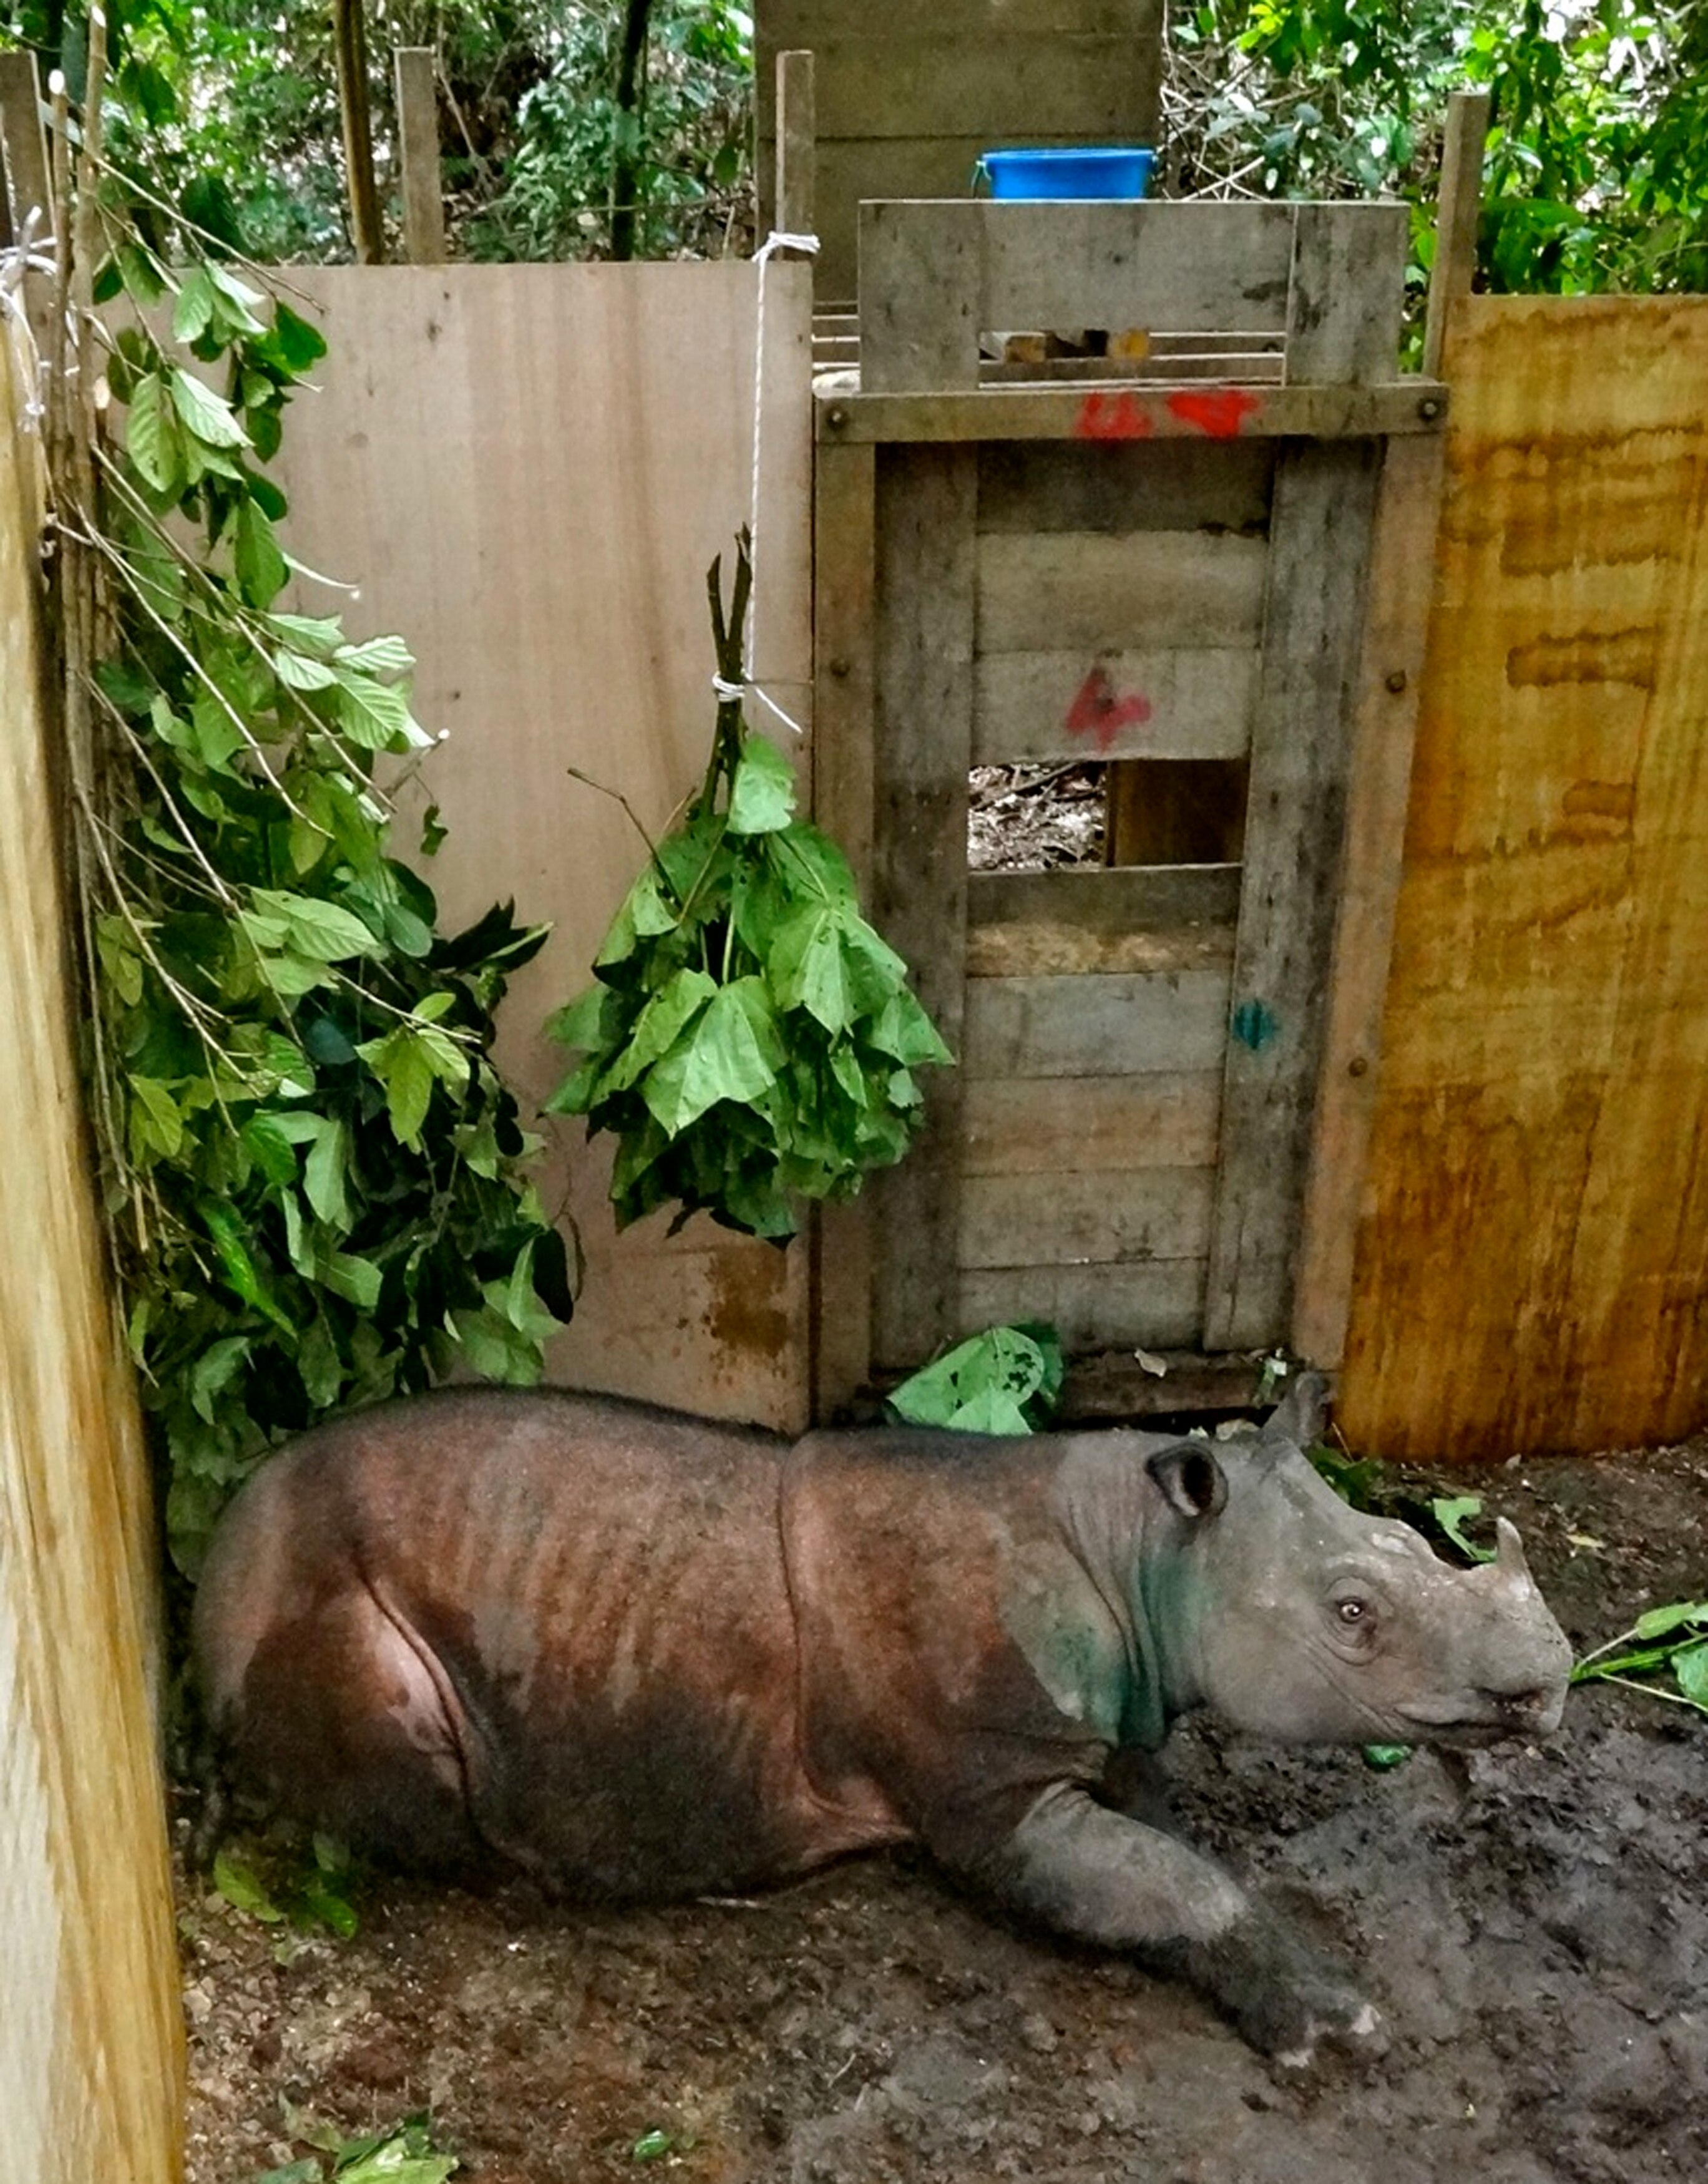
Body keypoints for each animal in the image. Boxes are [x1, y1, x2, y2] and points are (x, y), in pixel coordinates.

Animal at [193, 1372, 1571, 2062]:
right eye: (1353, 1614)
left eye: (1415, 1547)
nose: (1550, 1683)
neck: (1142, 1550)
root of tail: (211, 1556)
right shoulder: (989, 1789)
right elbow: (1163, 1879)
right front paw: (1334, 2026)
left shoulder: (1107, 1729)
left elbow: (1163, 1826)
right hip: (311, 1597)